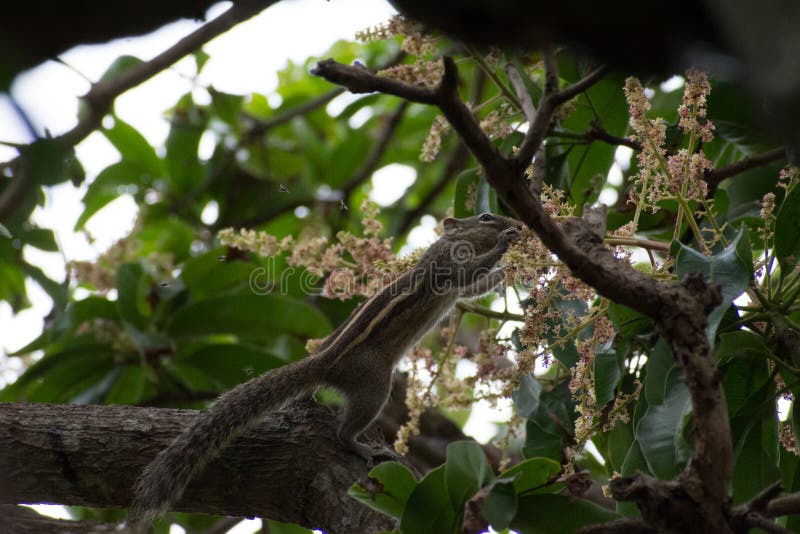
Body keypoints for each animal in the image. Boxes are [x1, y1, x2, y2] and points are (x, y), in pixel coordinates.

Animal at [127, 213, 522, 531]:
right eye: (486, 216)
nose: (513, 223)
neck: (452, 241)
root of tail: (323, 362)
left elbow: (476, 286)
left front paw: (506, 270)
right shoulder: (448, 264)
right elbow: (467, 274)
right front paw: (505, 245)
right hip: (374, 384)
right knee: (342, 432)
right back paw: (364, 448)